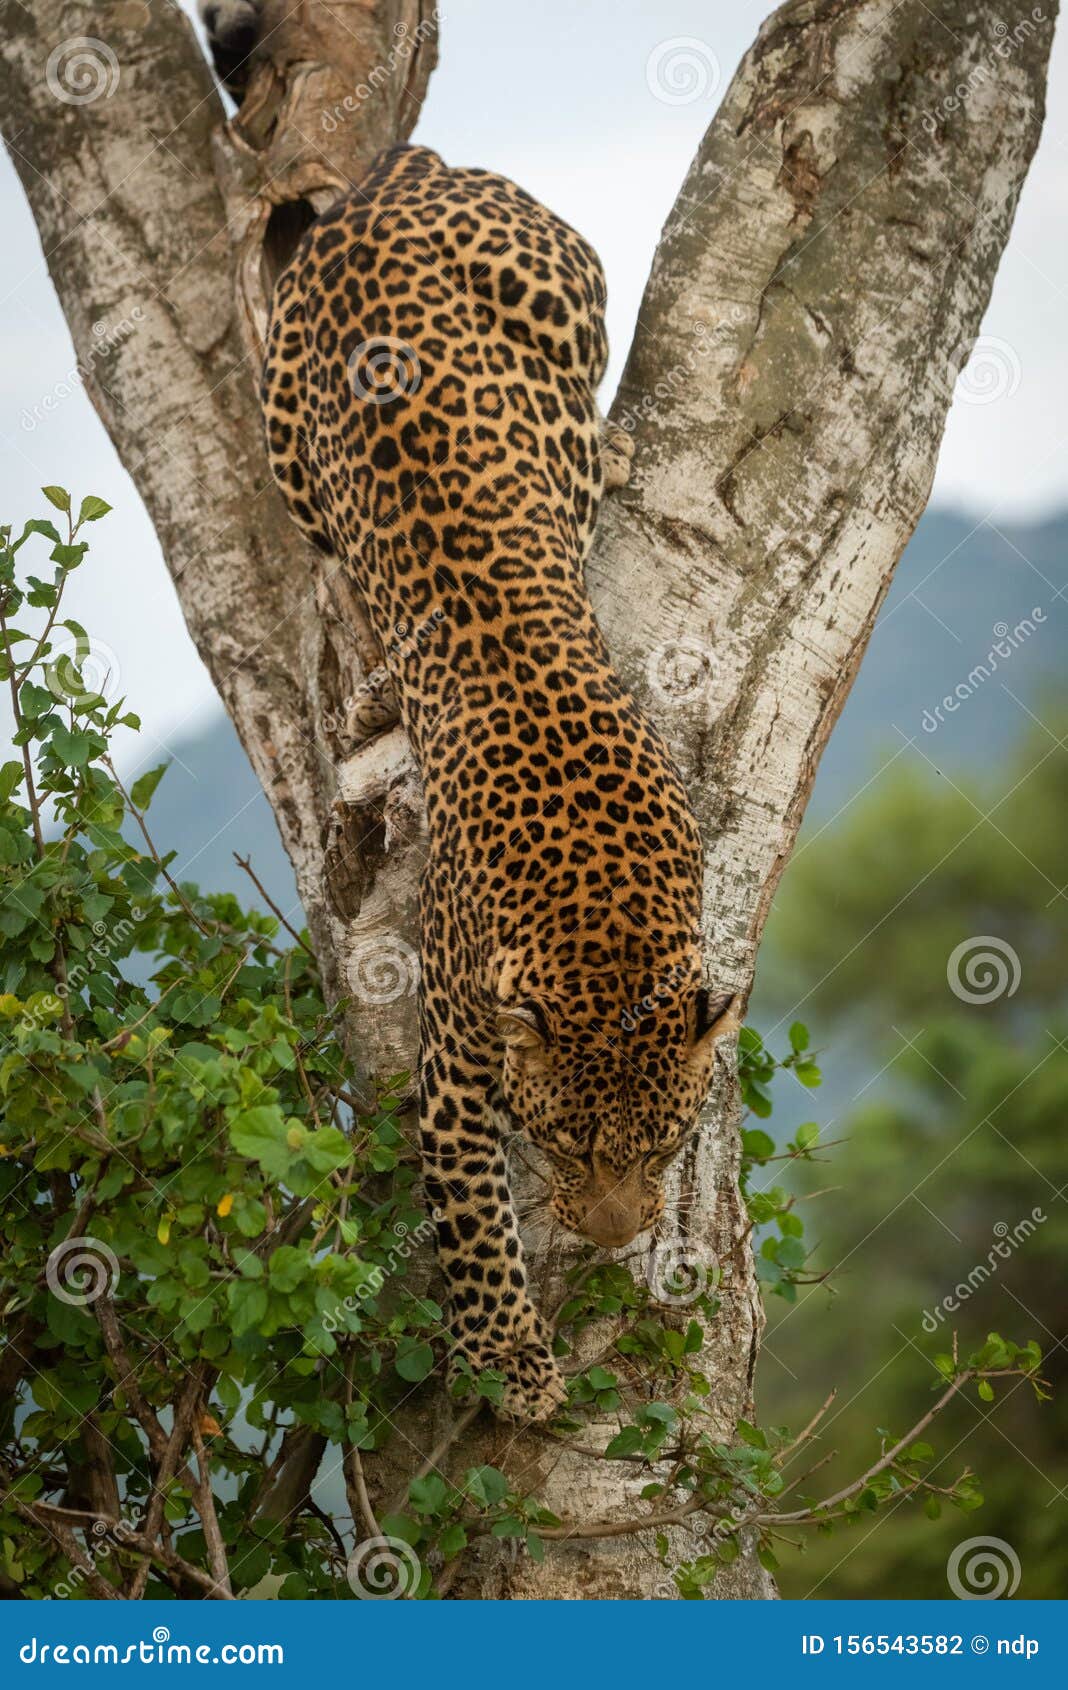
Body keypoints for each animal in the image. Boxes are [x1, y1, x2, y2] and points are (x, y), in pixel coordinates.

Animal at [207, 3, 741, 1419]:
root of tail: (390, 182)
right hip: (290, 448)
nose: (612, 1237)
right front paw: (516, 1364)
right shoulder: (451, 1064)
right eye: (564, 1137)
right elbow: (470, 1221)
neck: (599, 907)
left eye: (665, 1138)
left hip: (559, 290)